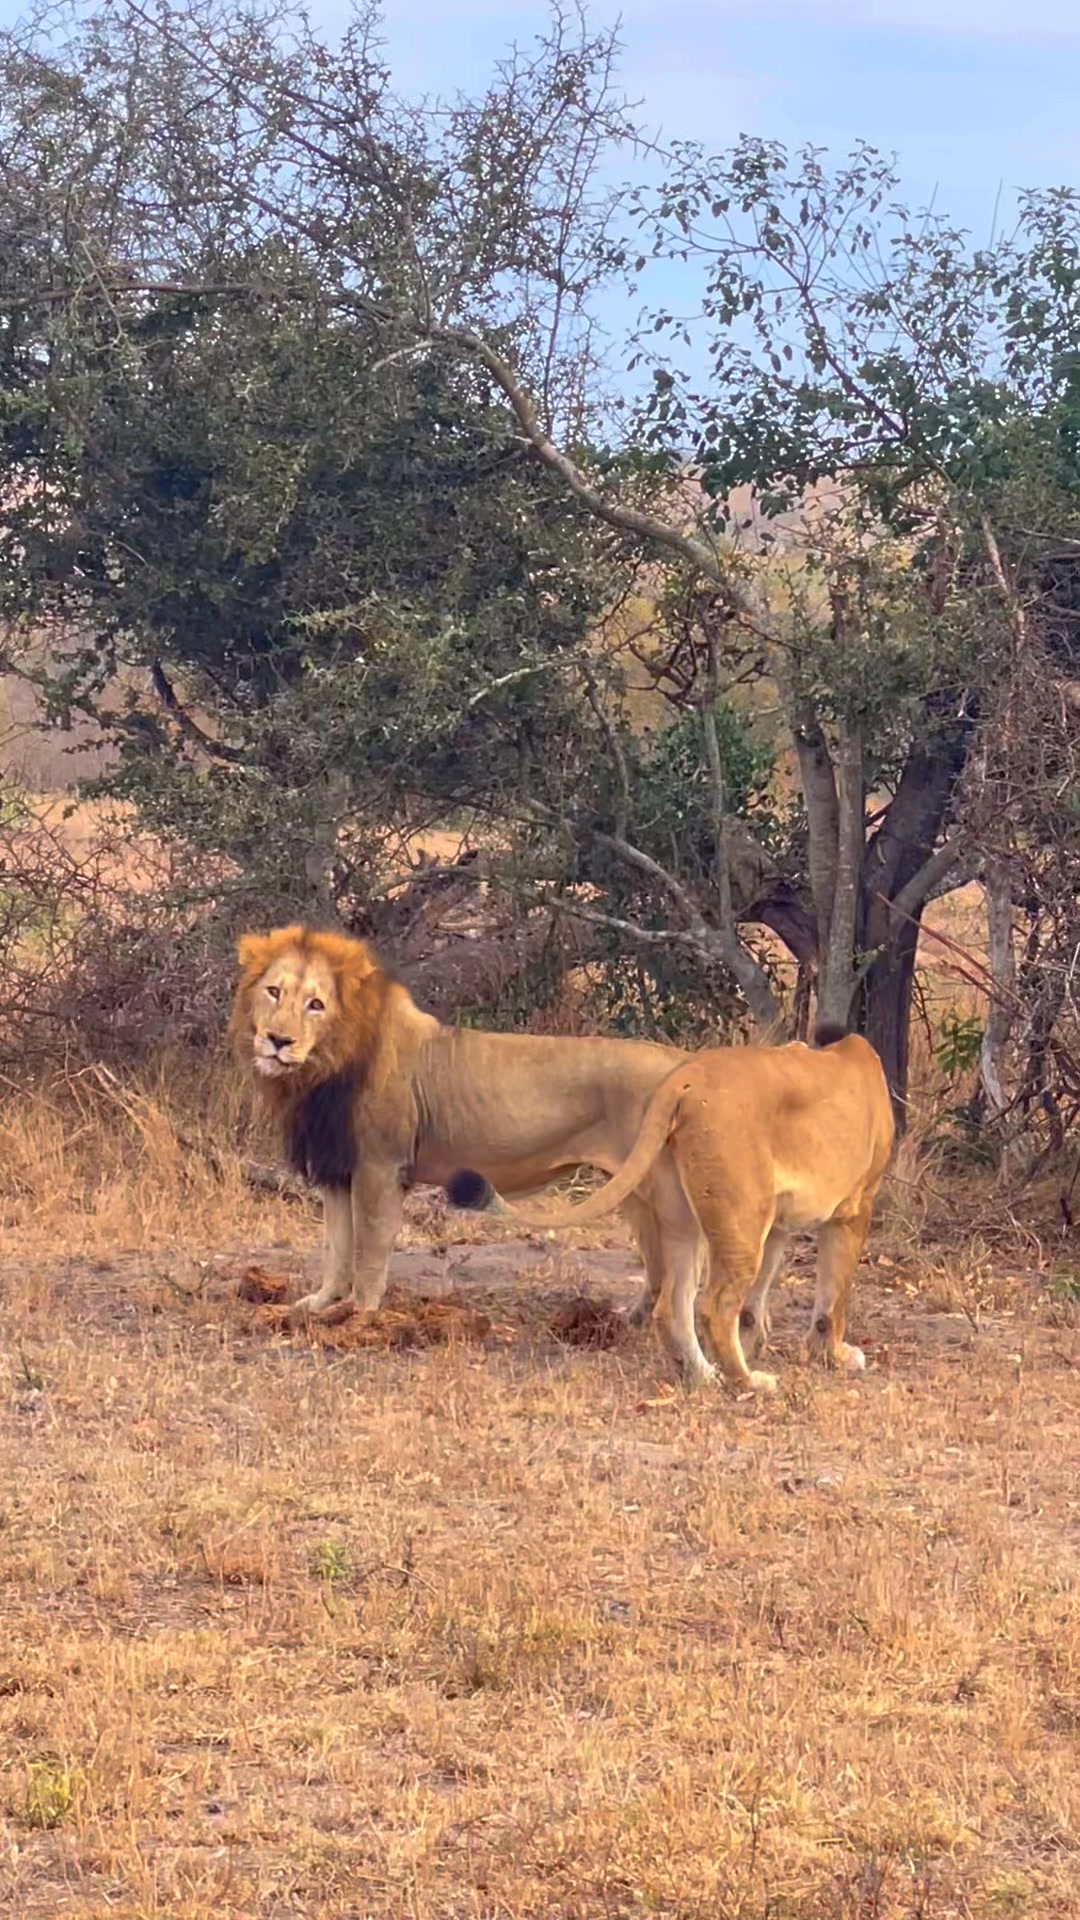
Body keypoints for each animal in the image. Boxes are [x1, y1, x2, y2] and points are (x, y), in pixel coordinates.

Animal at [231, 925, 702, 1330]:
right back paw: (630, 1321)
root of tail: (683, 1065)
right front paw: (320, 1303)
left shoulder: (380, 1167)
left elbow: (369, 1249)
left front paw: (359, 1314)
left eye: (316, 1004)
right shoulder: (335, 1167)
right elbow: (336, 1245)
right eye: (274, 992)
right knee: (659, 1265)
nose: (277, 1040)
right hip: (635, 1191)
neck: (319, 1071)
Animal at [449, 1027, 894, 1392]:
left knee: (674, 1305)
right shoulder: (855, 1207)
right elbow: (833, 1299)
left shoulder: (779, 1223)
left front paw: (759, 1340)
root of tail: (686, 1079)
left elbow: (759, 1299)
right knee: (715, 1307)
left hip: (684, 1219)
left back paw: (702, 1375)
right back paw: (748, 1380)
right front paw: (834, 1356)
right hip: (741, 1217)